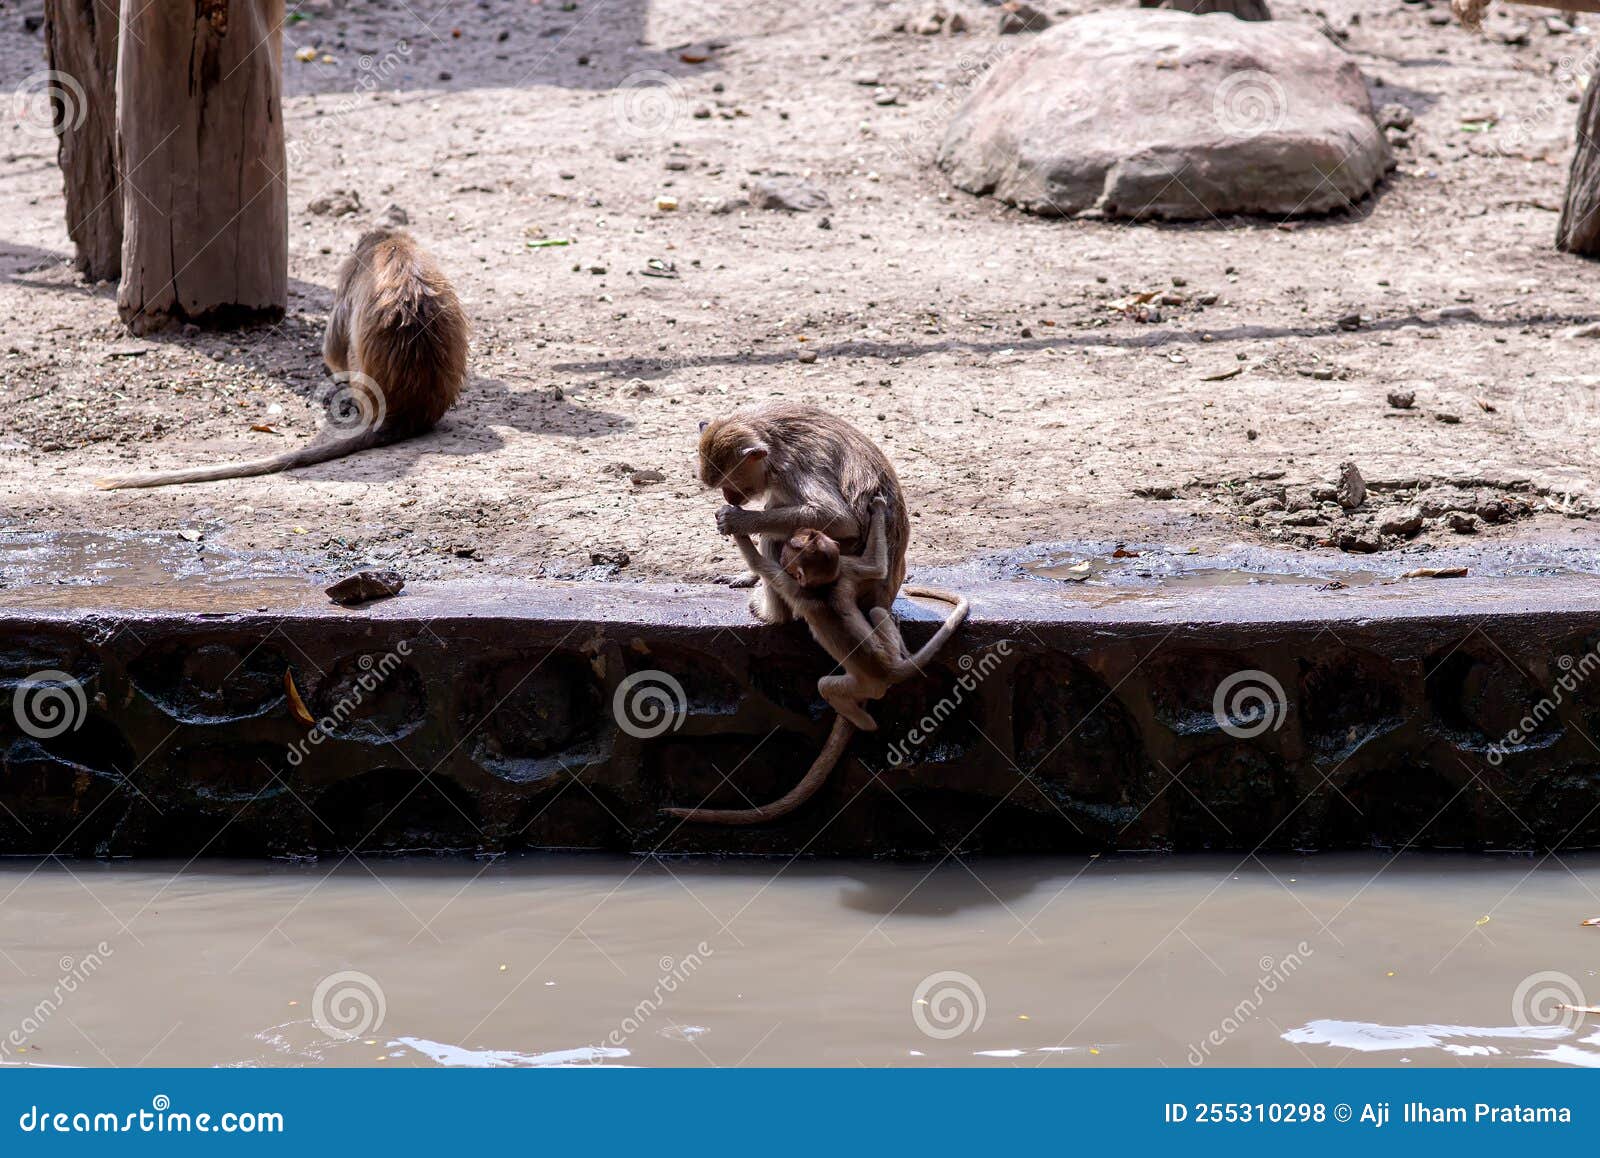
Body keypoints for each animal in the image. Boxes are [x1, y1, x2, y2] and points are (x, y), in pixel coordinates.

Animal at [664, 497, 968, 825]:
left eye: (789, 552)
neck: (823, 589)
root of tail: (888, 670)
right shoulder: (846, 570)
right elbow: (875, 566)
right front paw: (876, 508)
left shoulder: (793, 585)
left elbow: (761, 565)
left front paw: (734, 524)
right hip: (882, 648)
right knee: (877, 613)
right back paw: (901, 647)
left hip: (864, 685)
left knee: (828, 686)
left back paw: (864, 721)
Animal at [697, 403, 908, 624]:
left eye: (729, 484)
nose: (728, 497)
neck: (773, 444)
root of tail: (884, 601)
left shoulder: (791, 469)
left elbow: (839, 519)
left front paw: (736, 520)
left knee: (772, 538)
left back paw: (772, 613)